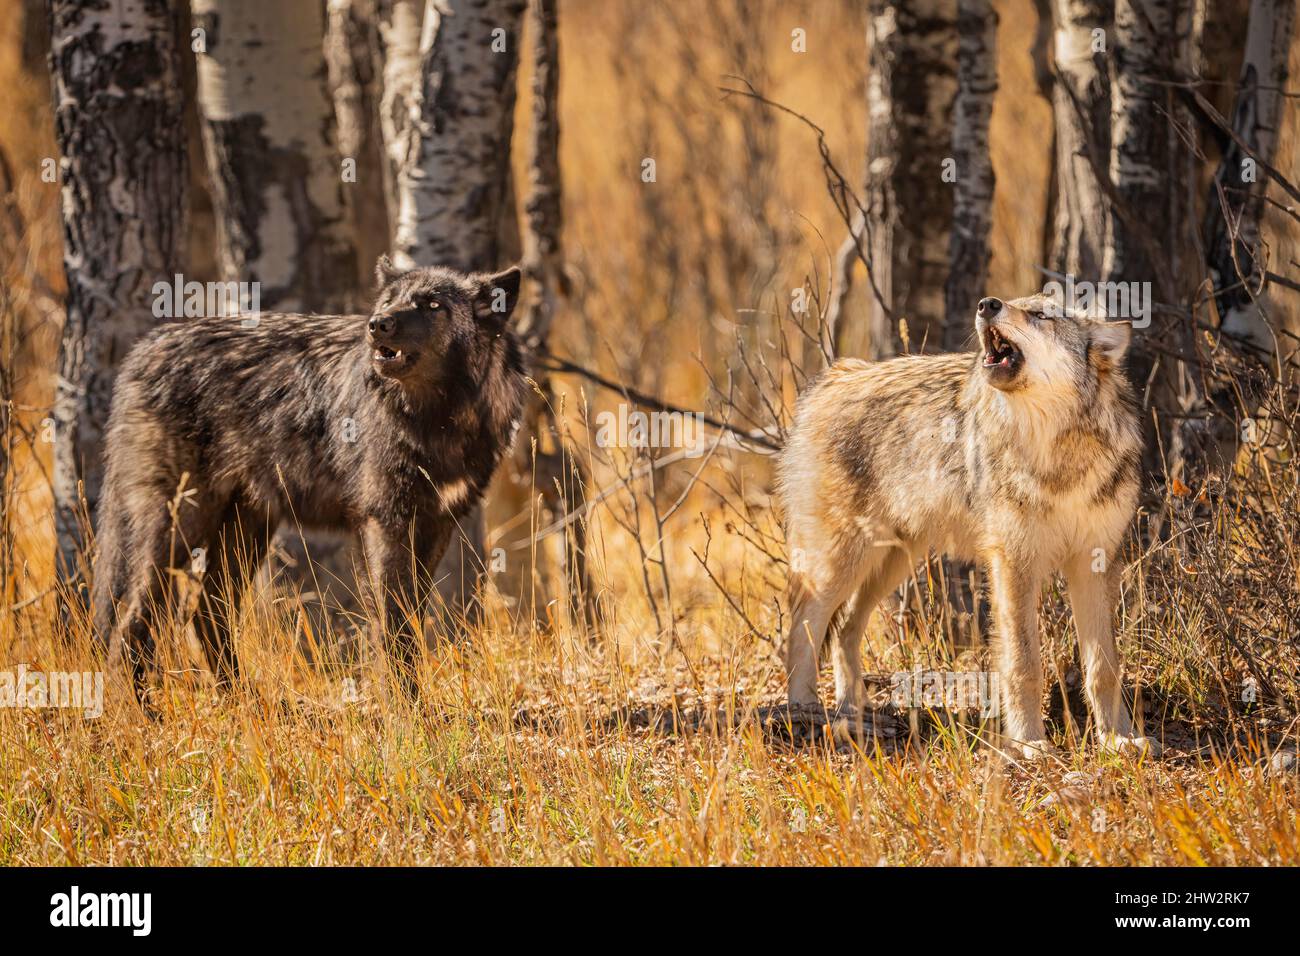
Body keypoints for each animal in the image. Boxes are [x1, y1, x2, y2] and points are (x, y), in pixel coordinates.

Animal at [93, 257, 527, 704]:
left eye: (433, 305)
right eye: (390, 300)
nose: (377, 324)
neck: (437, 419)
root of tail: (145, 348)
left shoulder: (436, 524)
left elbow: (410, 619)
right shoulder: (384, 523)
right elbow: (393, 625)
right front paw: (407, 709)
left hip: (246, 531)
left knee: (204, 612)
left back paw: (249, 703)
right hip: (181, 526)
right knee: (130, 623)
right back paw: (145, 713)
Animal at [777, 294, 1159, 758]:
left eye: (1040, 315)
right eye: (1016, 304)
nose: (988, 303)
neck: (1058, 453)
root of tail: (837, 376)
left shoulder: (1095, 561)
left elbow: (1104, 666)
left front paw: (1117, 738)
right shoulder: (1013, 563)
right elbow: (1024, 662)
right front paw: (1030, 742)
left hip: (895, 561)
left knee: (846, 630)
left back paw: (854, 710)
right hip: (840, 562)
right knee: (802, 627)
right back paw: (804, 709)